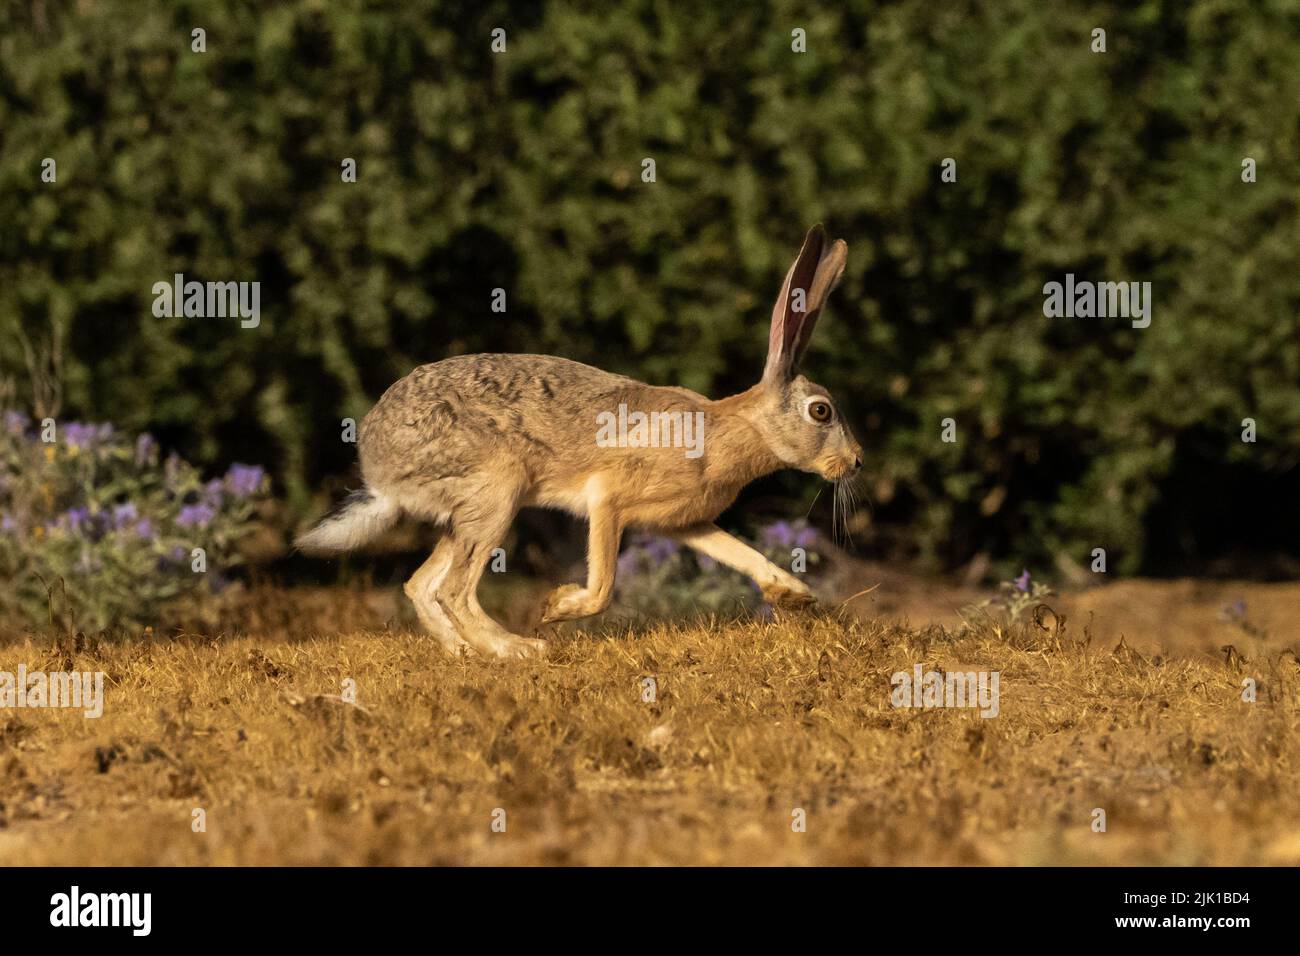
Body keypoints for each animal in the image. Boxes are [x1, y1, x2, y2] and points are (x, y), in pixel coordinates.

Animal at [295, 224, 862, 659]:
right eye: (821, 411)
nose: (856, 462)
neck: (734, 428)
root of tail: (379, 469)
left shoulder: (683, 522)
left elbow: (739, 552)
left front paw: (794, 594)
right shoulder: (609, 500)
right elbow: (604, 586)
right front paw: (557, 607)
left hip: (468, 509)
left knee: (421, 584)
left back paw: (462, 651)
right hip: (497, 487)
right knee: (454, 590)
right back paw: (518, 649)